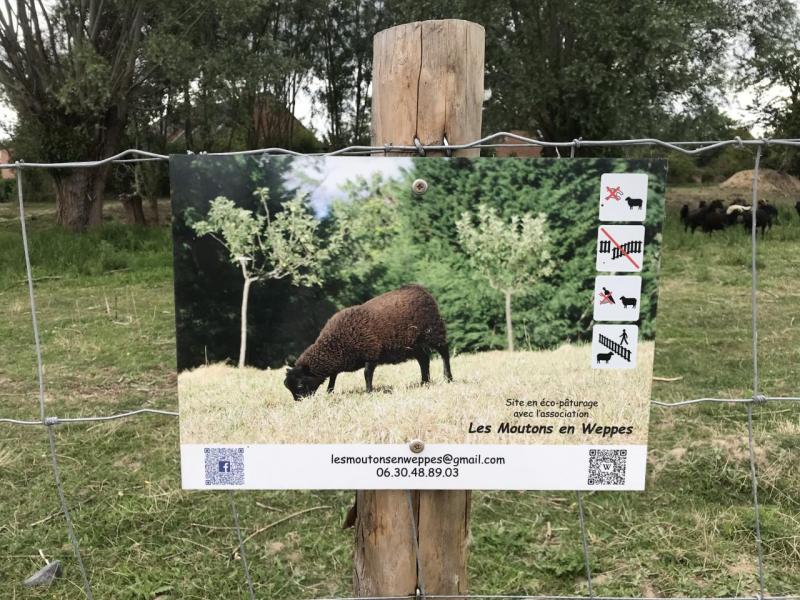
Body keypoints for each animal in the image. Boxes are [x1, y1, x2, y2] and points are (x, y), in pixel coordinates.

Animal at [284, 284, 454, 400]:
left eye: (300, 385)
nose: (299, 402)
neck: (336, 343)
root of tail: (420, 288)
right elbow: (333, 376)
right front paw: (330, 392)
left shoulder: (371, 352)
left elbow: (366, 374)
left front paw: (369, 392)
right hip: (413, 344)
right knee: (424, 360)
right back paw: (424, 382)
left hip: (433, 331)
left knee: (444, 352)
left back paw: (448, 378)